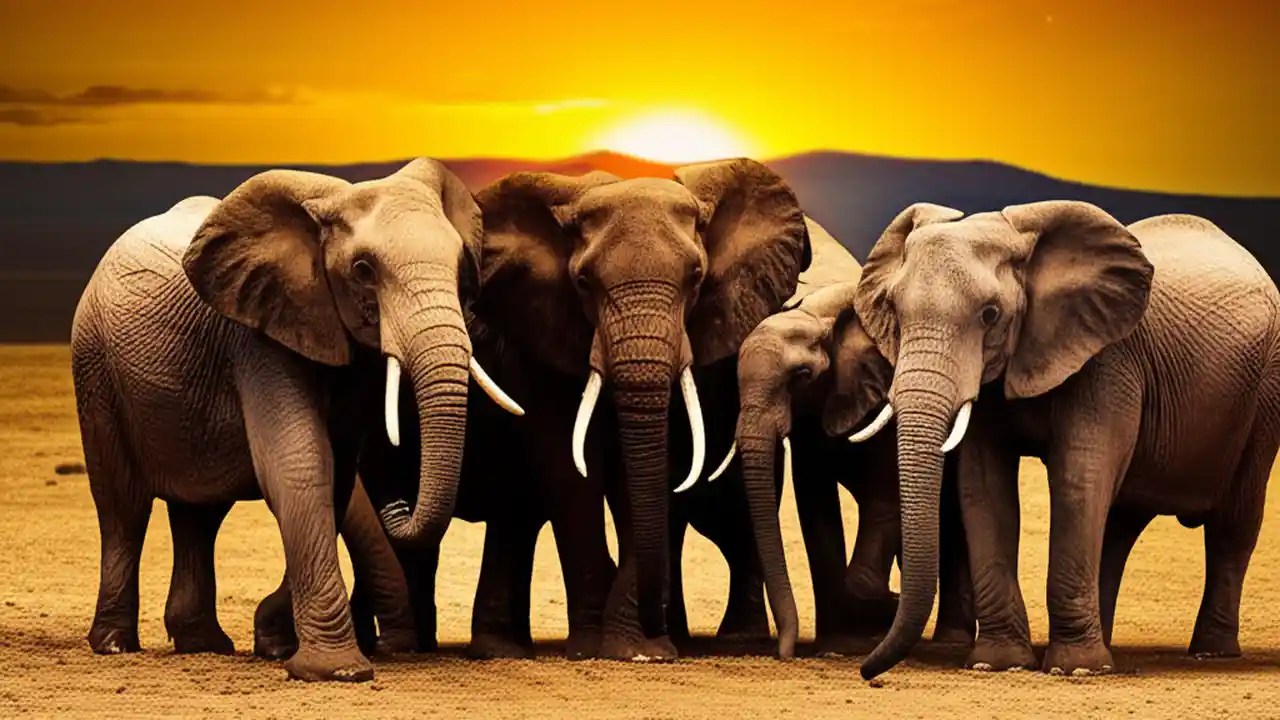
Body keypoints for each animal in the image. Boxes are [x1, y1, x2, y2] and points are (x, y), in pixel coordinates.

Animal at [70, 158, 521, 681]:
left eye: (460, 266)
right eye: (363, 270)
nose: (398, 504)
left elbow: (337, 476)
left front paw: (275, 642)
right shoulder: (258, 338)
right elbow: (299, 463)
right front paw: (338, 672)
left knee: (199, 514)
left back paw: (203, 644)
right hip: (94, 367)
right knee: (122, 504)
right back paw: (114, 645)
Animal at [459, 159, 812, 660]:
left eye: (696, 277)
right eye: (583, 283)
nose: (648, 634)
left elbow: (662, 466)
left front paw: (638, 649)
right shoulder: (543, 331)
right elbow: (568, 467)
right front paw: (595, 647)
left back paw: (735, 641)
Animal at [714, 224, 974, 657]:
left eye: (801, 376)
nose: (784, 652)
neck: (816, 315)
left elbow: (887, 494)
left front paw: (882, 606)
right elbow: (814, 500)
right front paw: (844, 641)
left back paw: (950, 639)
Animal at [845, 201, 1280, 678]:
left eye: (990, 314)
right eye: (893, 309)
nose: (867, 672)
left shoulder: (1107, 358)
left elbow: (1079, 475)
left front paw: (1075, 670)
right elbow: (984, 487)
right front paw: (998, 665)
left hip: (1265, 392)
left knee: (1234, 522)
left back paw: (1210, 652)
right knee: (1119, 523)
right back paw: (1107, 645)